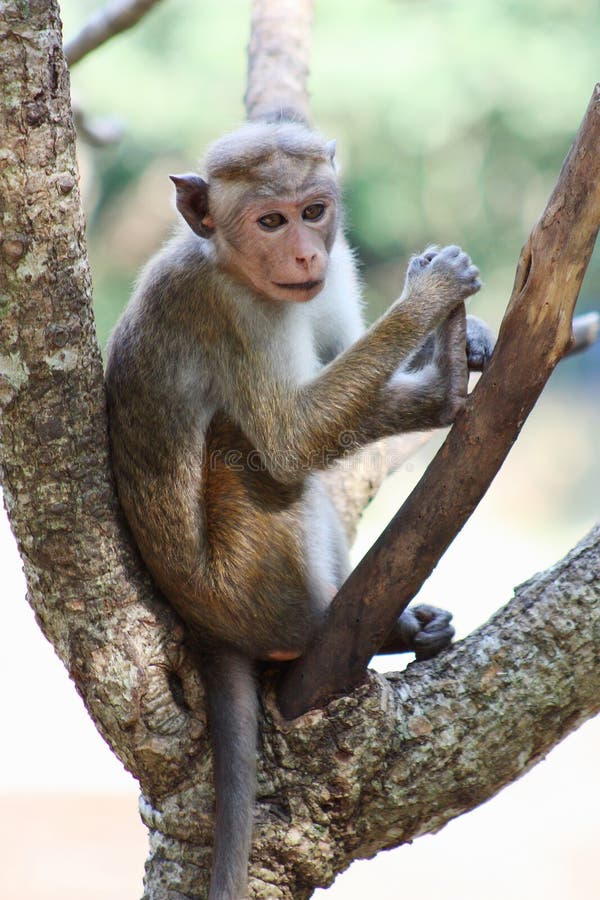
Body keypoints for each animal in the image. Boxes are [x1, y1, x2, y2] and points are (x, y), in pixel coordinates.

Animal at [104, 120, 491, 899]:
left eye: (313, 211)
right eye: (270, 222)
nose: (305, 252)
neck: (233, 264)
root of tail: (202, 624)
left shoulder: (333, 273)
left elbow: (341, 358)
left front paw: (469, 343)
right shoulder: (229, 312)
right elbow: (290, 443)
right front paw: (433, 312)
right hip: (250, 586)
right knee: (247, 449)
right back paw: (332, 631)